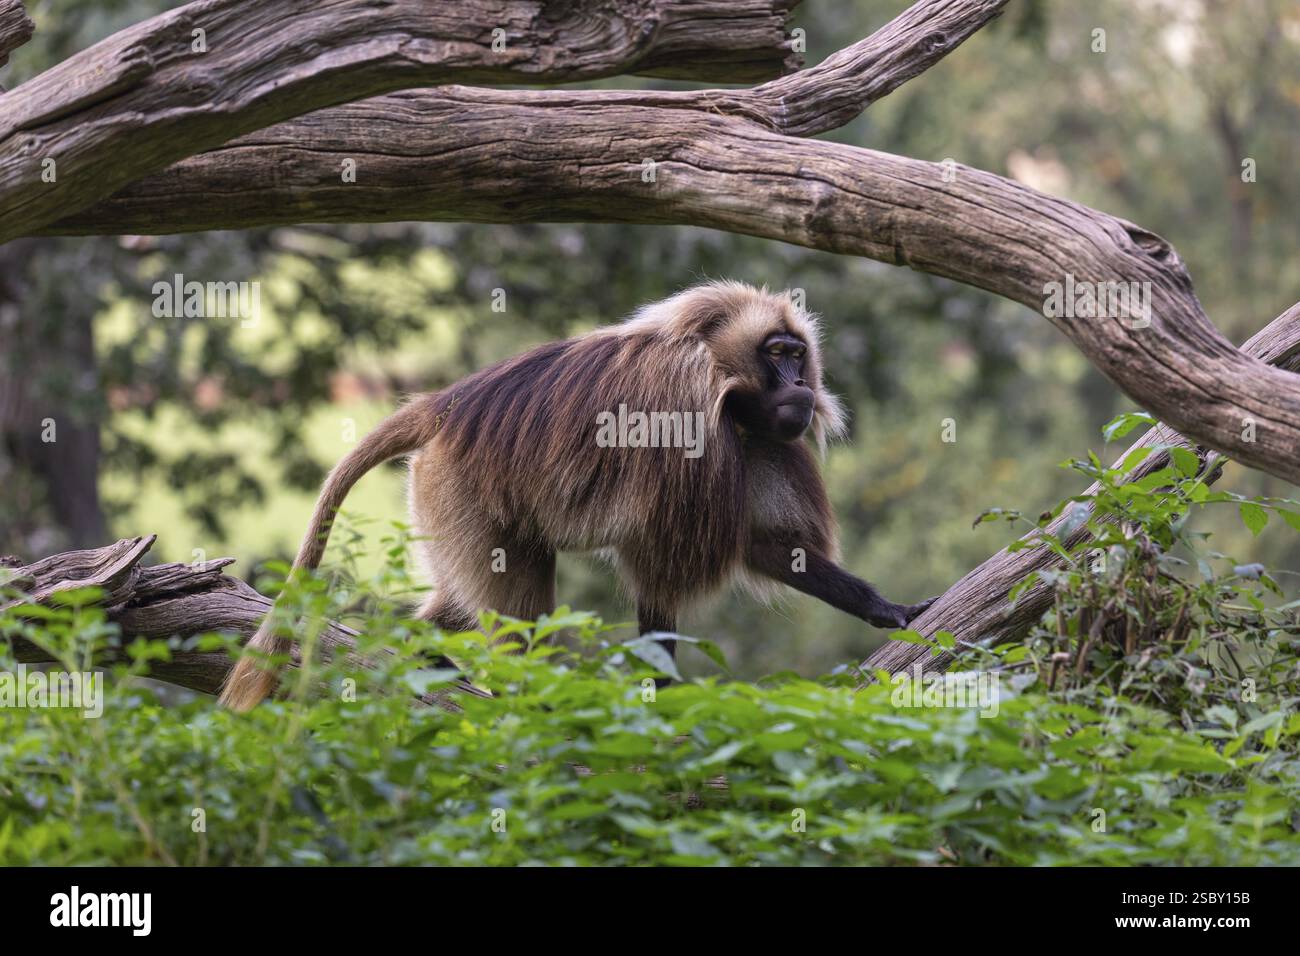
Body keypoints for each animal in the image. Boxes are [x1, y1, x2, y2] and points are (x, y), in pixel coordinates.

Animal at [219, 280, 936, 711]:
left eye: (796, 354)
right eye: (777, 354)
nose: (803, 389)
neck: (730, 393)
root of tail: (442, 407)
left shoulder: (757, 442)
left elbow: (769, 548)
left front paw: (886, 608)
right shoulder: (687, 427)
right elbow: (660, 579)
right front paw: (657, 703)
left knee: (460, 602)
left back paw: (416, 656)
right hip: (462, 493)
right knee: (517, 611)